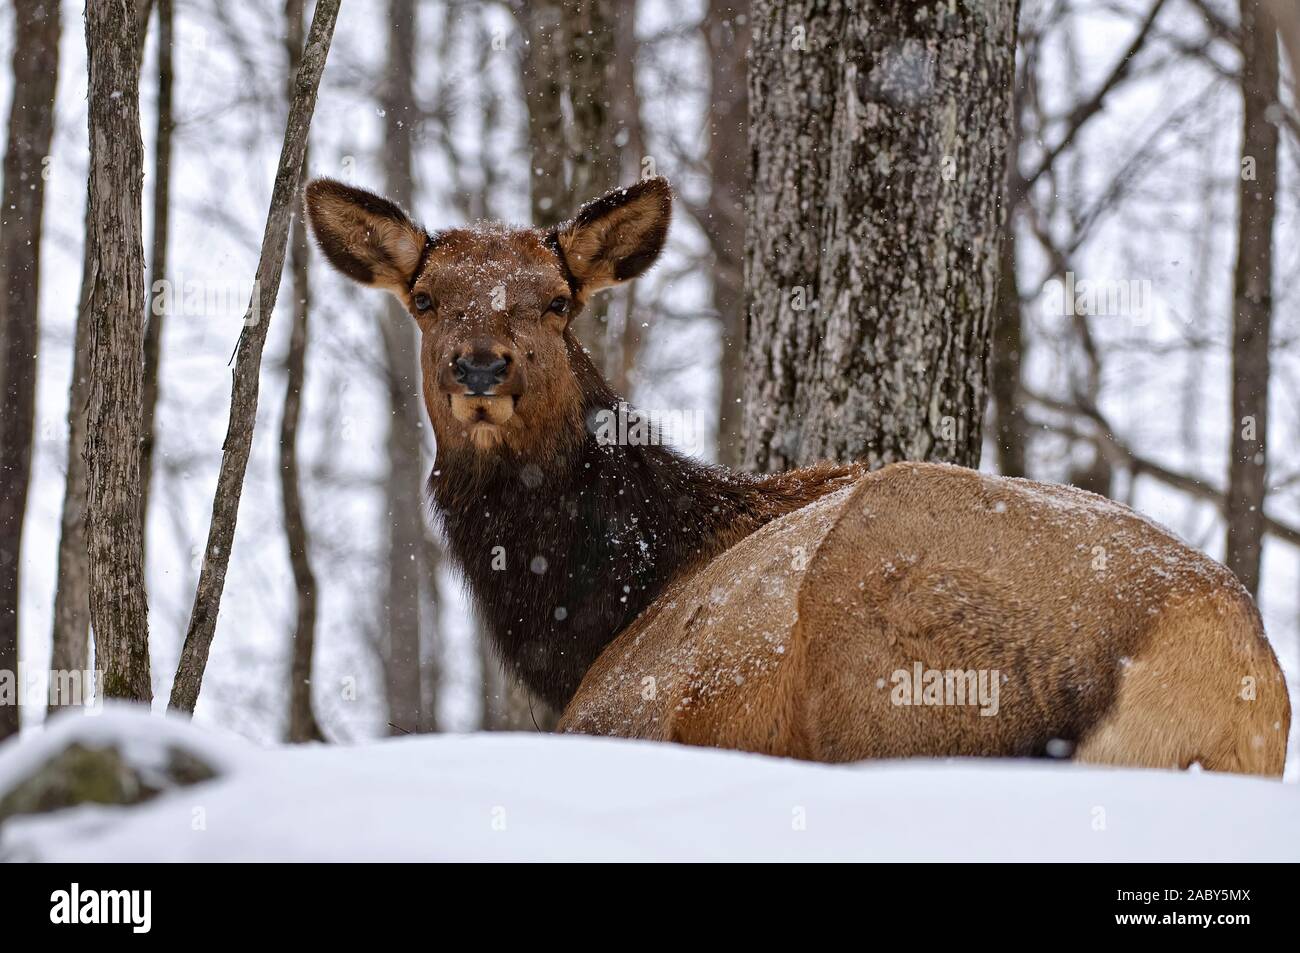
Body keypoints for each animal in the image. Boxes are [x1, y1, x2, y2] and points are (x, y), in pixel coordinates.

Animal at [304, 175, 1291, 777]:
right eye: (426, 298)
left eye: (556, 300)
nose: (480, 367)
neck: (596, 613)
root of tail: (1218, 661)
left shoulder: (616, 718)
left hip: (892, 681)